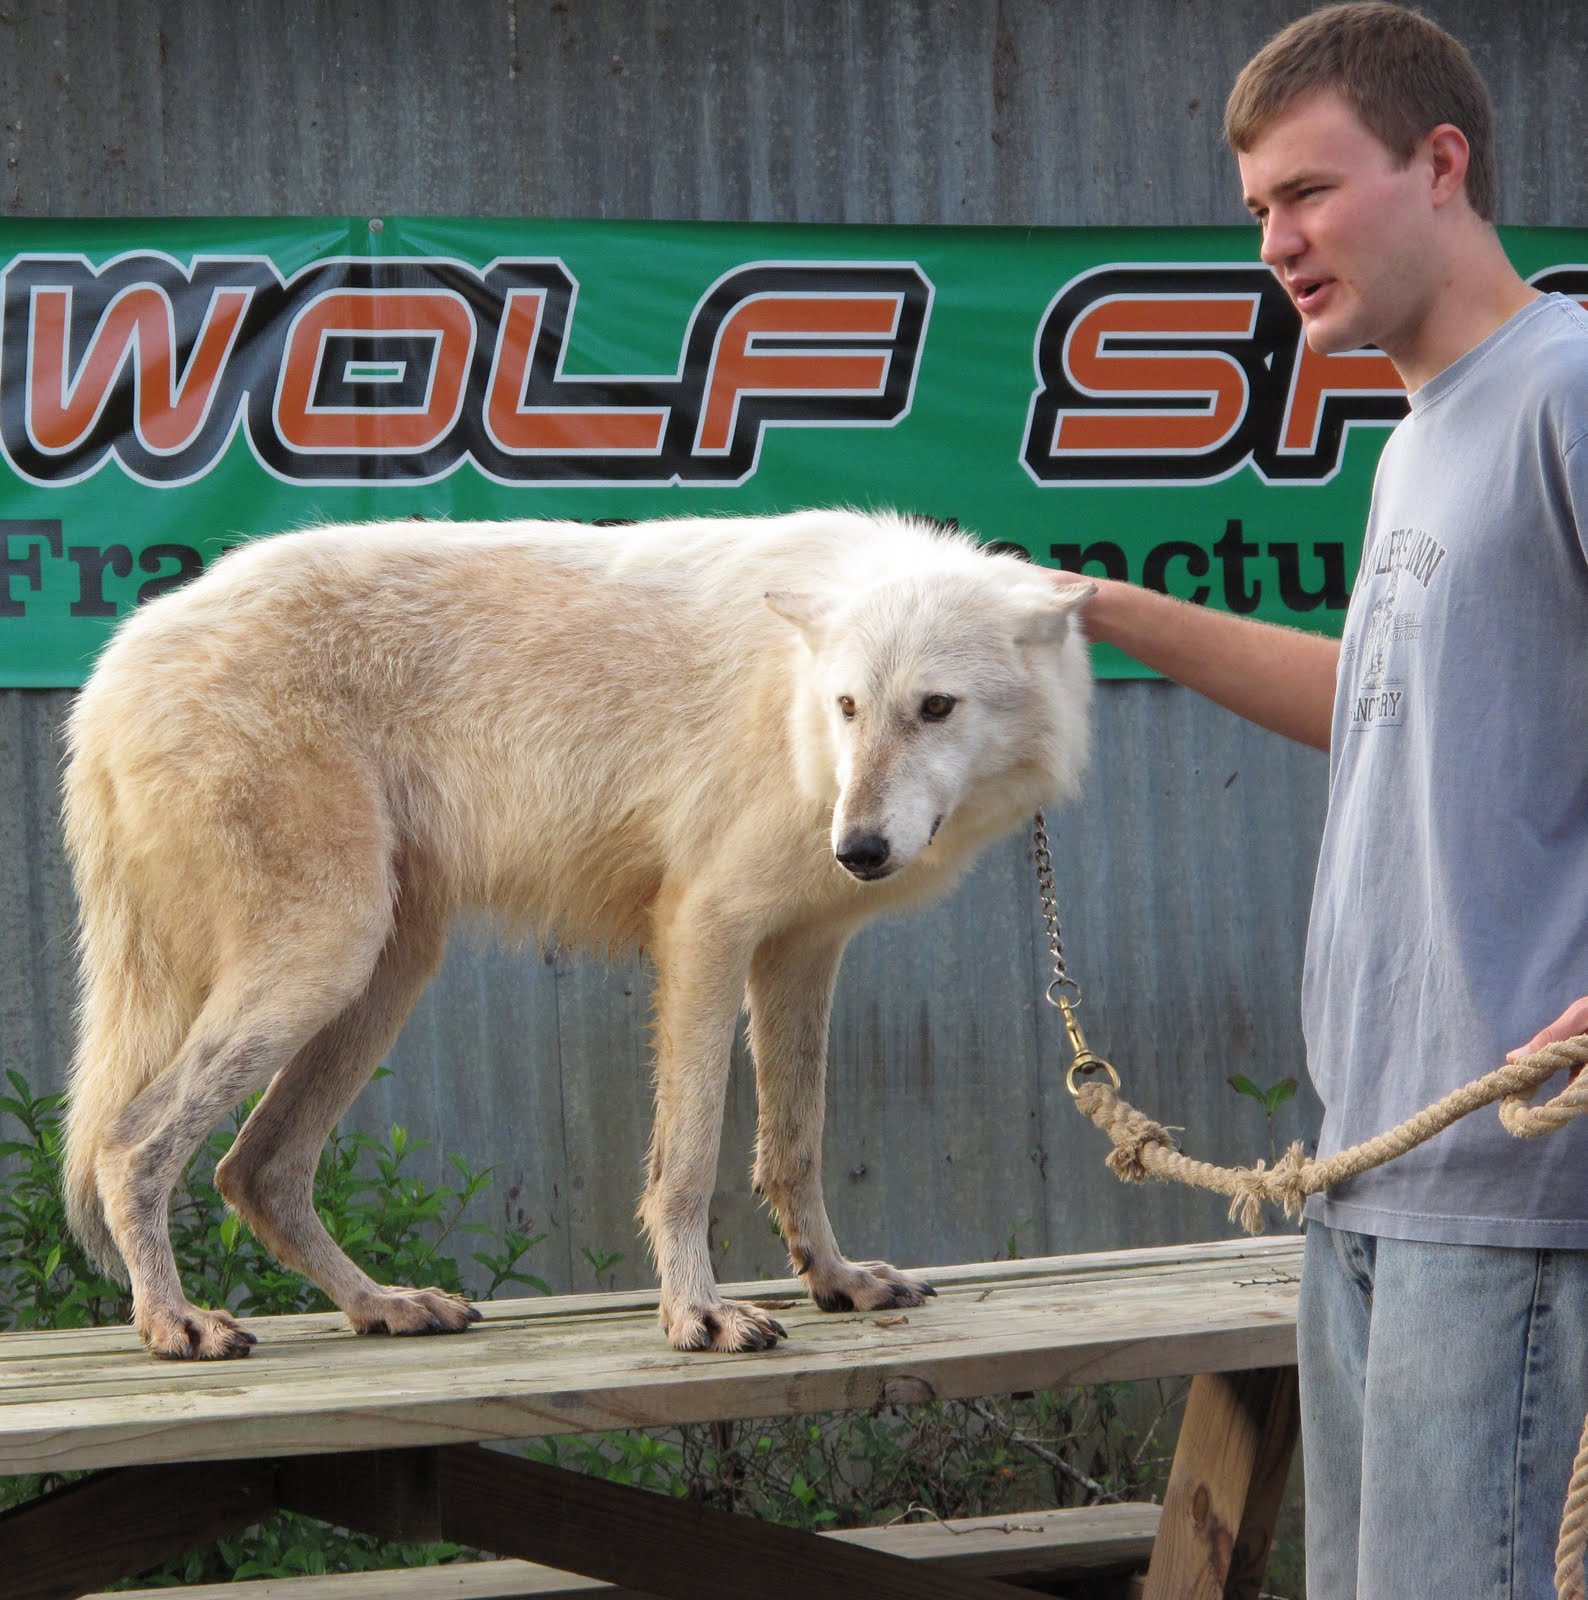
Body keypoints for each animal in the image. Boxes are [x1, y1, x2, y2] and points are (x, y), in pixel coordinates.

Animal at [60, 509, 1093, 1359]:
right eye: (848, 708)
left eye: (936, 707)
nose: (860, 848)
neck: (792, 705)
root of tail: (113, 664)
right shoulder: (705, 933)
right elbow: (689, 1161)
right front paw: (698, 1316)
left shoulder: (801, 952)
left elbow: (793, 1146)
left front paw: (835, 1282)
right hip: (324, 961)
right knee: (131, 1143)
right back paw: (176, 1324)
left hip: (381, 975)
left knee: (257, 1172)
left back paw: (384, 1306)